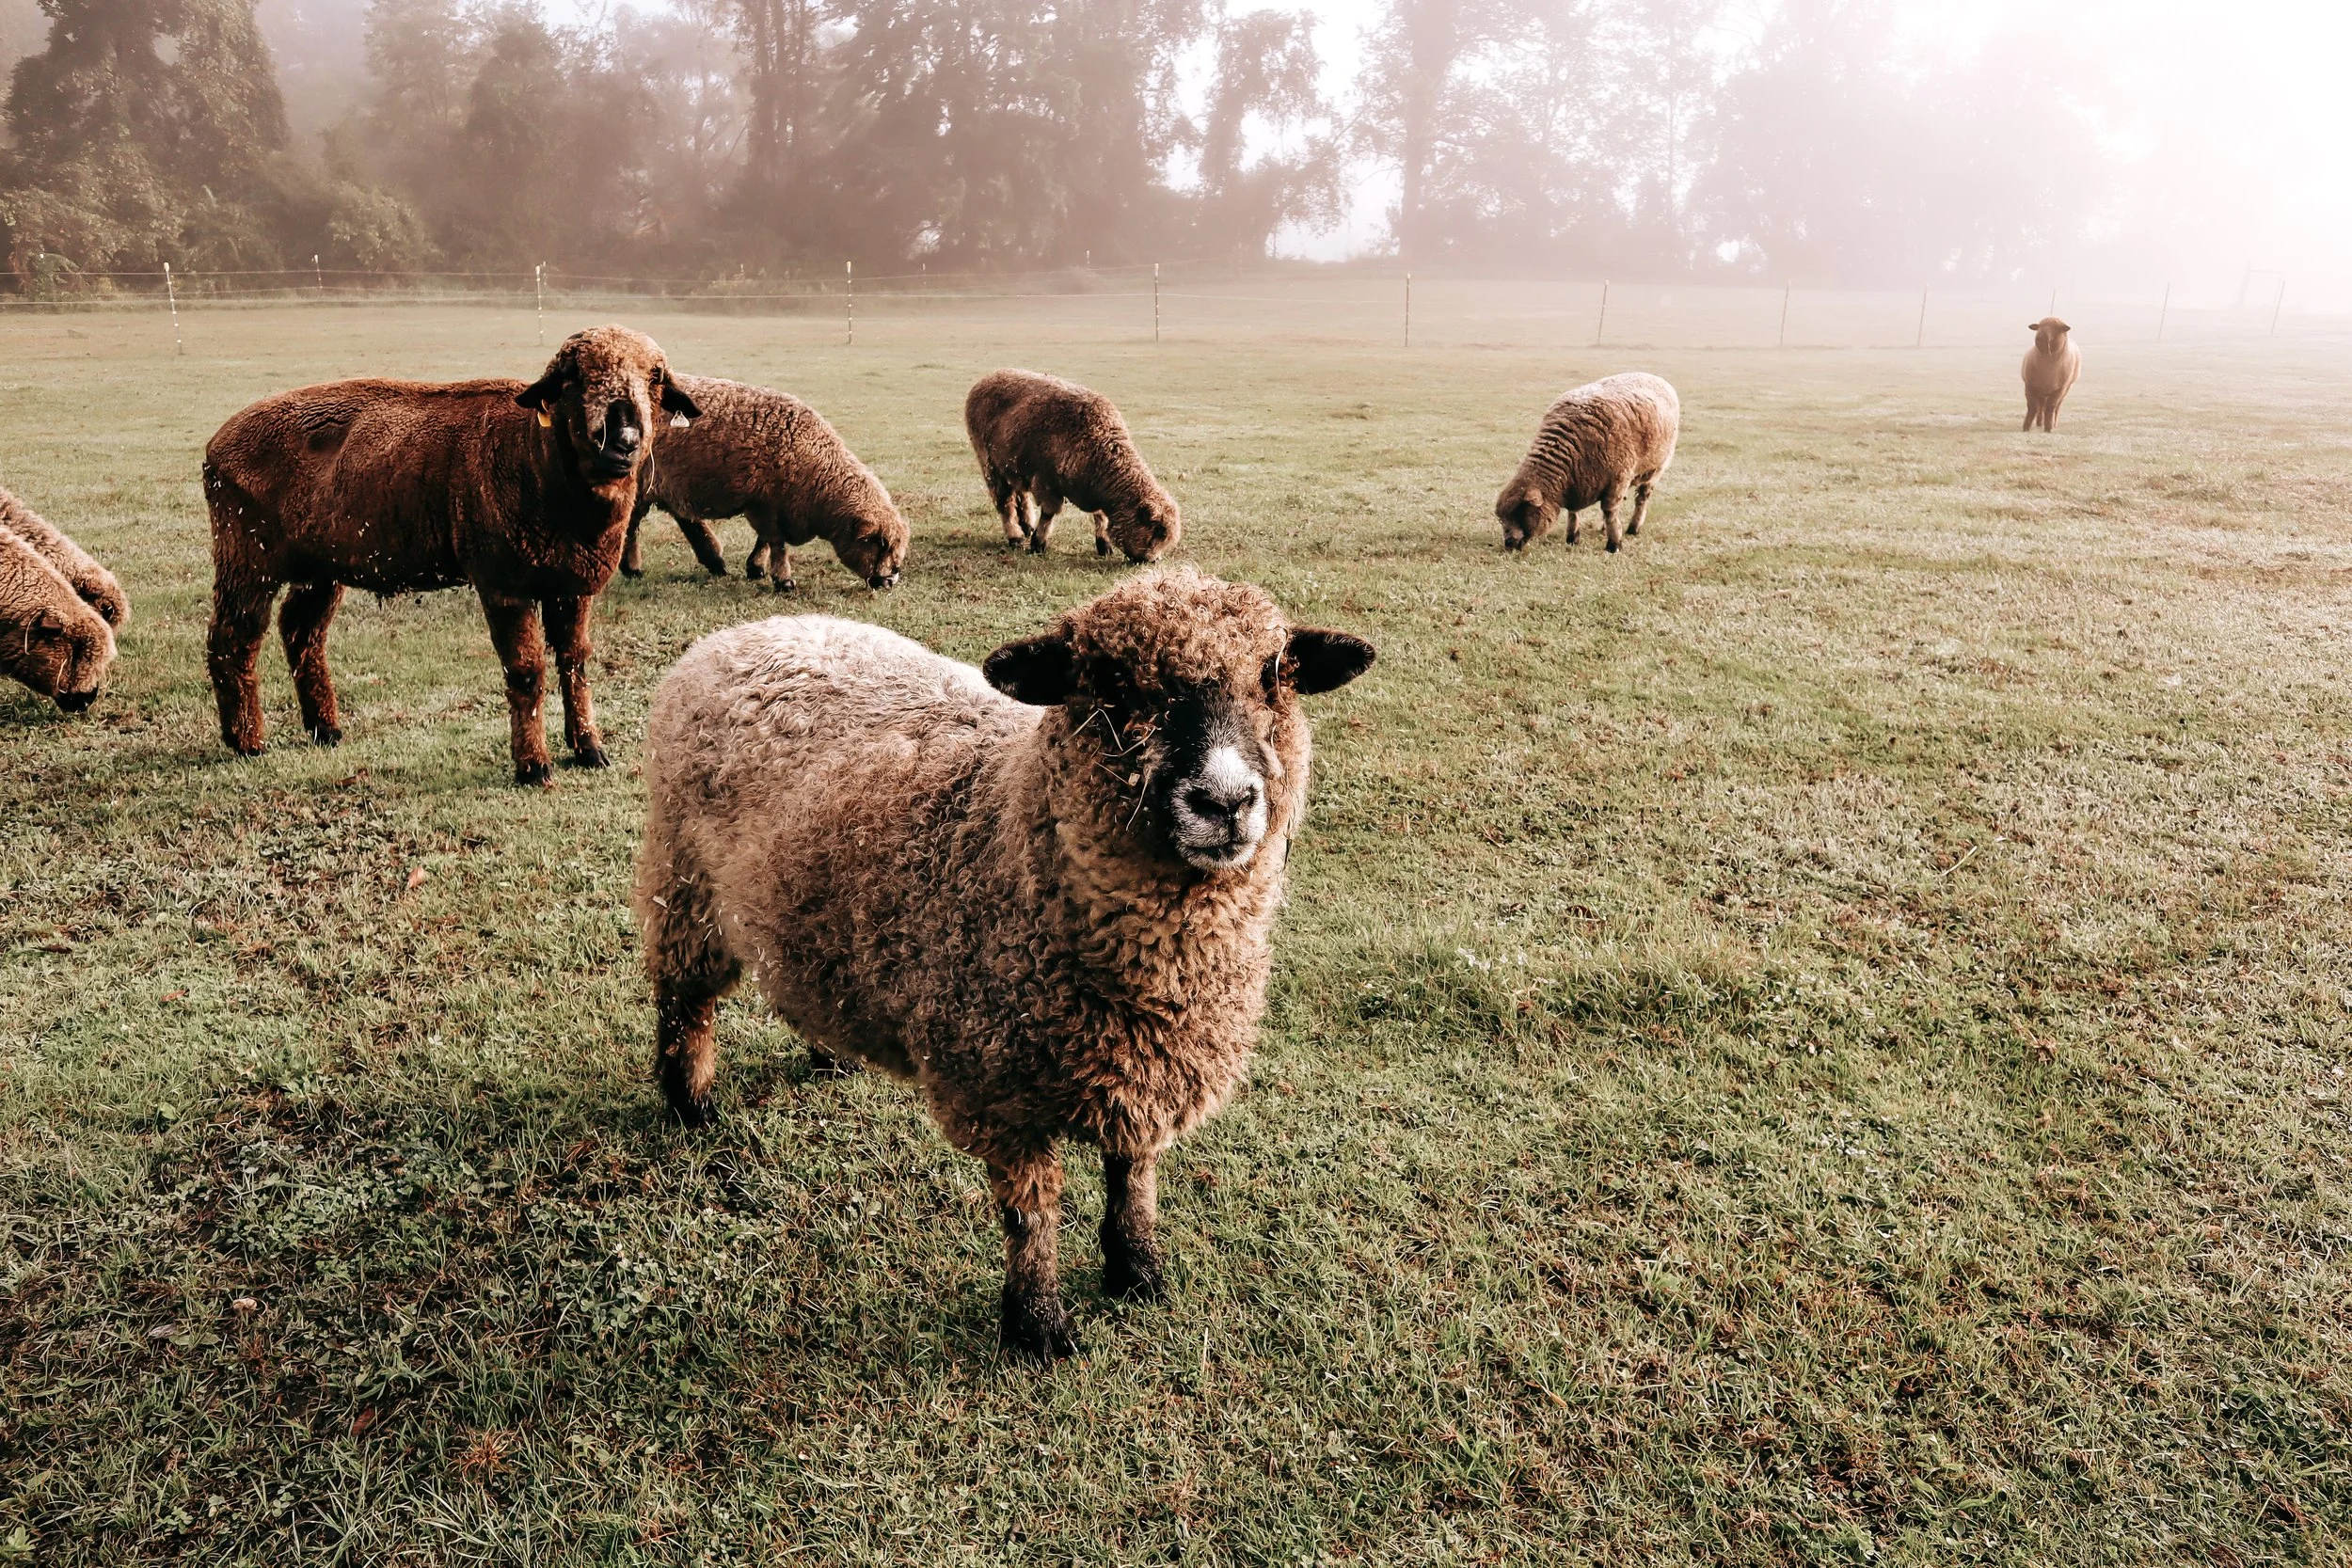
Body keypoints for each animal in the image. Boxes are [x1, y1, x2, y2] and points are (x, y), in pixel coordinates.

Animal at [203, 325, 699, 784]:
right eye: (573, 377)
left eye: (655, 377)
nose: (623, 439)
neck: (538, 460)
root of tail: (217, 444)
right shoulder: (503, 582)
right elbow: (526, 671)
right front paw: (533, 766)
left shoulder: (572, 584)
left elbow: (574, 662)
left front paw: (589, 749)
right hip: (245, 552)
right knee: (233, 638)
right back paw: (246, 740)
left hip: (319, 563)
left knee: (301, 632)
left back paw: (325, 729)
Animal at [620, 374, 907, 591]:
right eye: (880, 545)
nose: (889, 582)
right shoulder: (764, 504)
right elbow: (776, 543)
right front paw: (783, 580)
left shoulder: (772, 504)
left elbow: (764, 541)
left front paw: (756, 567)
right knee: (632, 525)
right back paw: (633, 568)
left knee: (682, 519)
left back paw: (713, 560)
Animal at [635, 567, 1375, 1361]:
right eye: (1112, 681)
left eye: (1275, 673)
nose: (1227, 800)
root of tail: (743, 632)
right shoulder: (998, 1087)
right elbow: (1032, 1213)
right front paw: (1038, 1323)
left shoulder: (1146, 1066)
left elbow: (1134, 1173)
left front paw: (1138, 1269)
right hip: (684, 886)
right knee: (685, 1002)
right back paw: (690, 1104)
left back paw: (830, 1056)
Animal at [964, 369, 1181, 563]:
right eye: (1155, 533)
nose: (1151, 561)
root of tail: (987, 379)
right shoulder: (1046, 483)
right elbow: (1049, 514)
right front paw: (1038, 544)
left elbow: (1100, 515)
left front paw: (1103, 545)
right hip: (989, 463)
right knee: (1004, 501)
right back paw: (1015, 536)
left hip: (1013, 466)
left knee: (1020, 494)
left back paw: (1027, 525)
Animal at [1494, 371, 1679, 553]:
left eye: (1521, 512)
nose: (1508, 544)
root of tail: (1655, 377)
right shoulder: (1577, 482)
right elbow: (1573, 511)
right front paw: (1572, 538)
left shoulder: (1618, 478)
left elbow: (1610, 511)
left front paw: (1614, 545)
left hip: (1655, 469)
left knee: (1641, 499)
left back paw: (1633, 528)